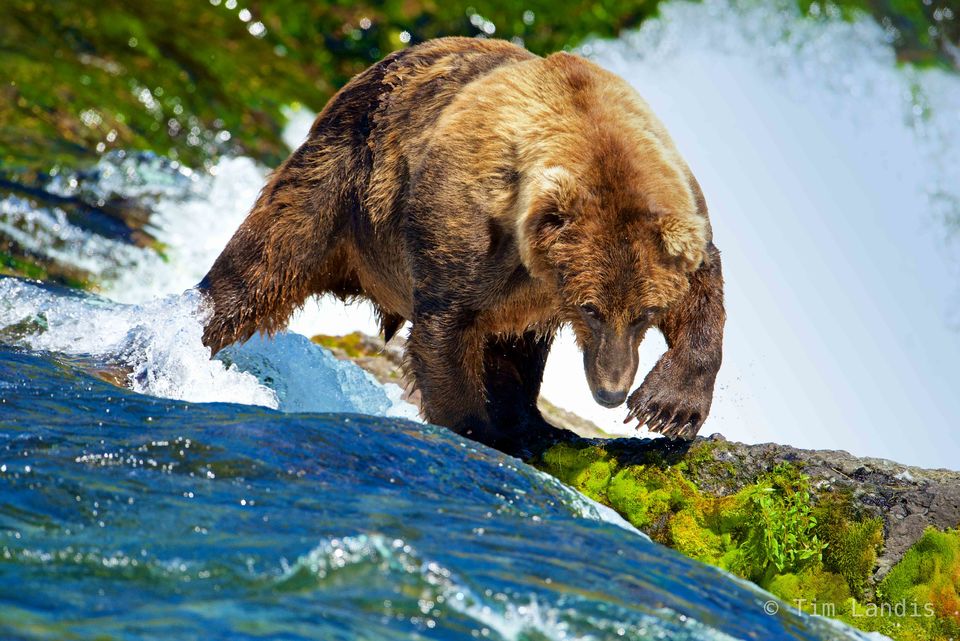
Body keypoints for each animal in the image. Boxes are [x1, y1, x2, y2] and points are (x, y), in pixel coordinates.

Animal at [199, 37, 725, 454]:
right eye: (590, 309)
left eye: (645, 313)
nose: (612, 392)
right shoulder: (470, 231)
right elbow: (446, 330)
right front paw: (478, 429)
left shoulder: (679, 211)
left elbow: (704, 295)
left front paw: (667, 407)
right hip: (341, 179)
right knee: (267, 261)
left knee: (516, 346)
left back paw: (538, 423)